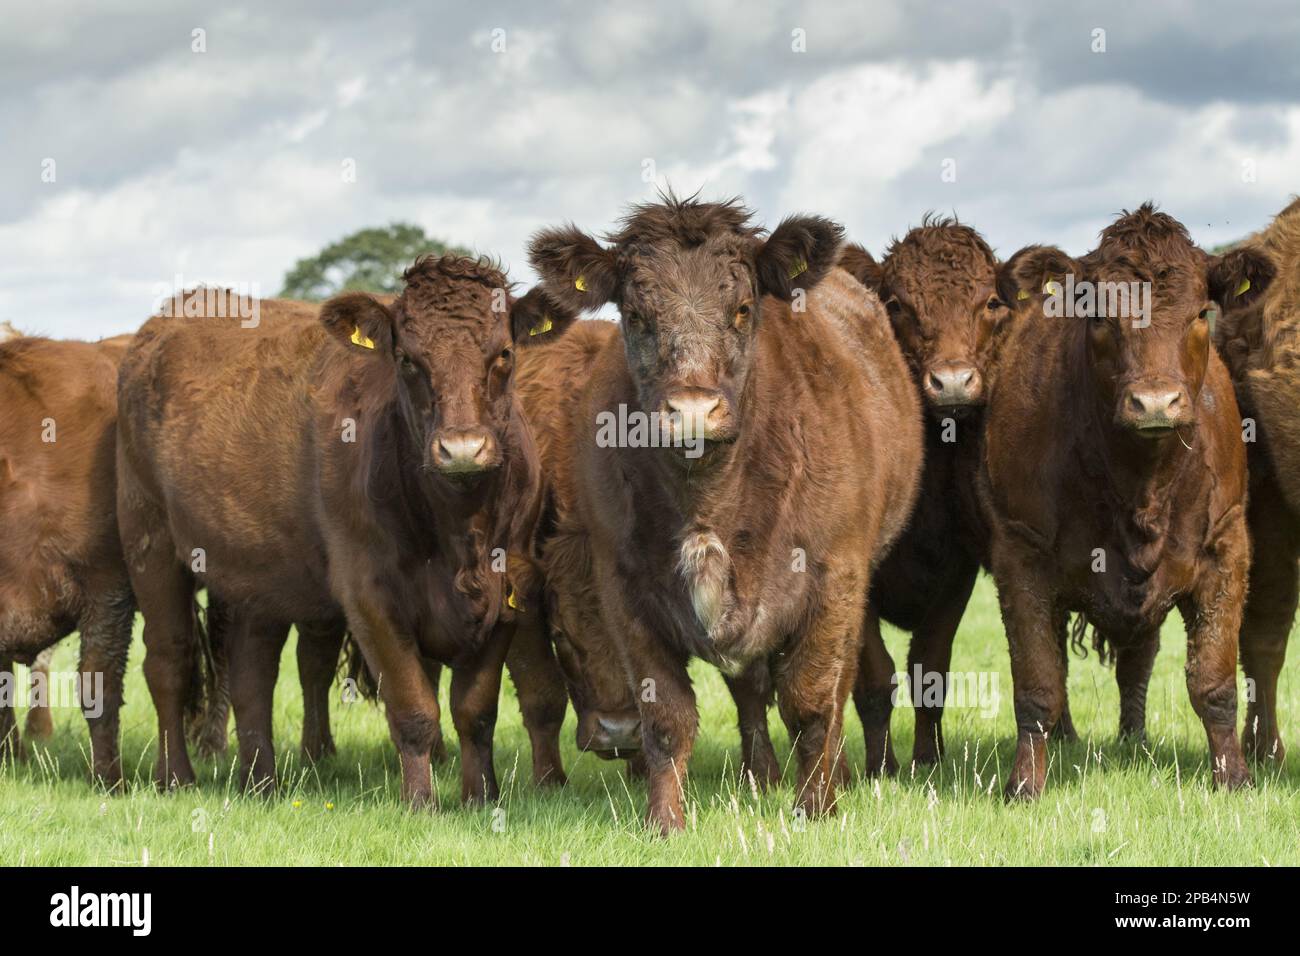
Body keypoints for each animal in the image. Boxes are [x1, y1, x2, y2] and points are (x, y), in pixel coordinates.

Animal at [116, 262, 576, 807]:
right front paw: (420, 803)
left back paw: (261, 782)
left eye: (504, 352)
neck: (461, 530)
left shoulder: (510, 585)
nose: (462, 448)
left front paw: (481, 796)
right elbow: (414, 707)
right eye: (406, 359)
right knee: (168, 661)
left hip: (255, 576)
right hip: (150, 541)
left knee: (252, 676)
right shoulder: (368, 592)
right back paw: (176, 777)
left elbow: (475, 709)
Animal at [528, 195, 923, 833]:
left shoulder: (835, 576)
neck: (709, 502)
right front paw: (665, 821)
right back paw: (759, 774)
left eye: (742, 309)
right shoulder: (624, 589)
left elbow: (813, 702)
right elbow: (668, 716)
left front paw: (815, 807)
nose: (692, 409)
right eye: (635, 315)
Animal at [836, 218, 1019, 772]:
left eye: (990, 302)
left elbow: (930, 671)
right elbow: (874, 678)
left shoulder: (956, 577)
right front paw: (881, 766)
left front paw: (928, 760)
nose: (953, 381)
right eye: (896, 305)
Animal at [980, 203, 1272, 799]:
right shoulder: (1019, 552)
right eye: (1098, 316)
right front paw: (1024, 784)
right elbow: (1037, 684)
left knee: (1138, 661)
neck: (1142, 485)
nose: (1155, 402)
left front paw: (1233, 777)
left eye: (1201, 313)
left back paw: (1134, 739)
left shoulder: (1227, 544)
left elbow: (1214, 684)